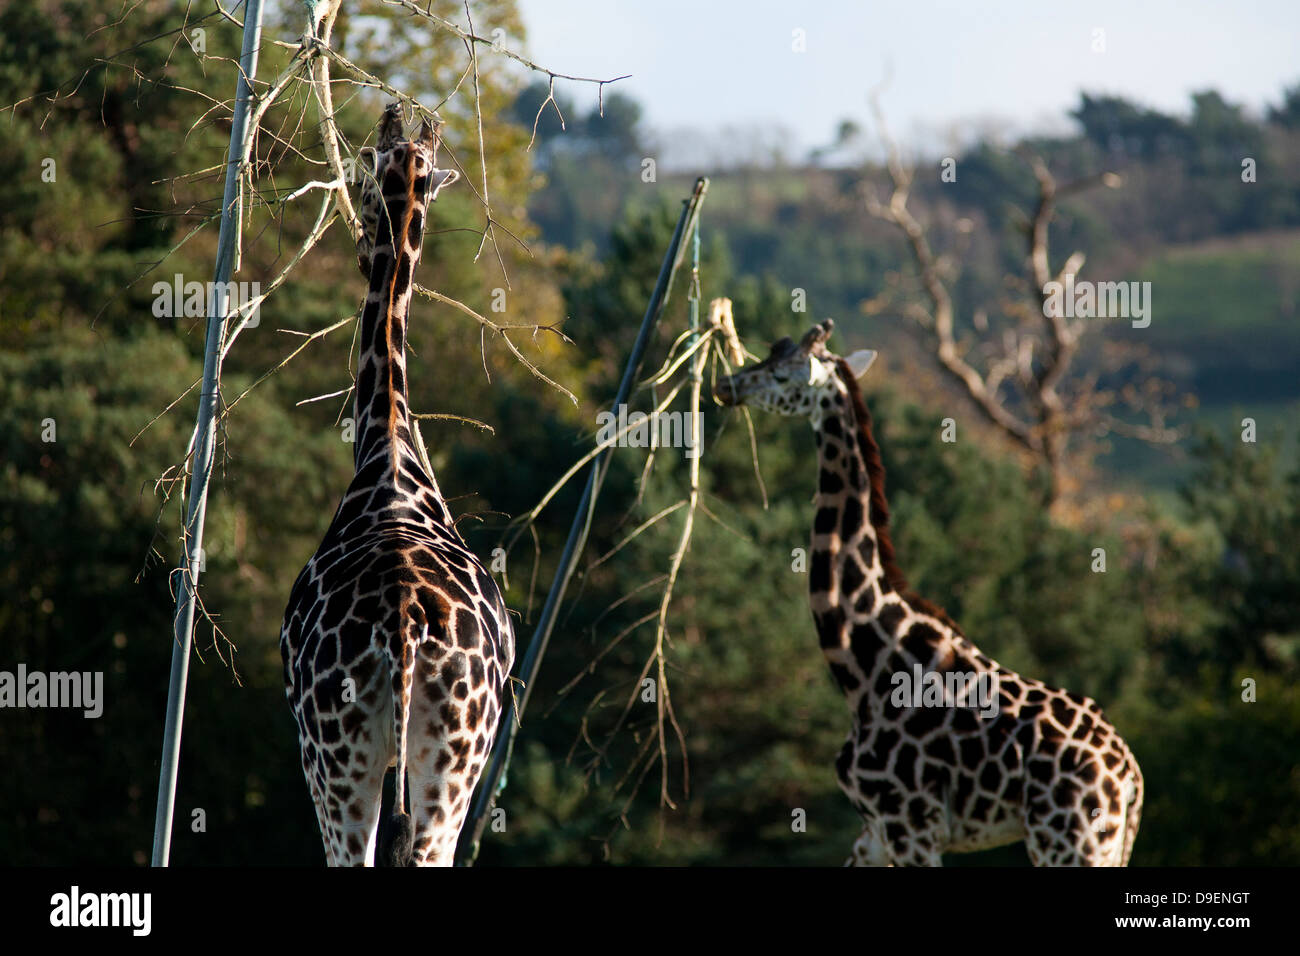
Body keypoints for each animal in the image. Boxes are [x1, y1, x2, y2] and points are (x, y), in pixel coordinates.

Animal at [715, 319, 1142, 866]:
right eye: (769, 356)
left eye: (782, 373)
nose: (726, 386)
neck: (862, 666)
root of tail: (1129, 777)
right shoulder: (874, 831)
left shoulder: (911, 823)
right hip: (1107, 842)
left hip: (1068, 839)